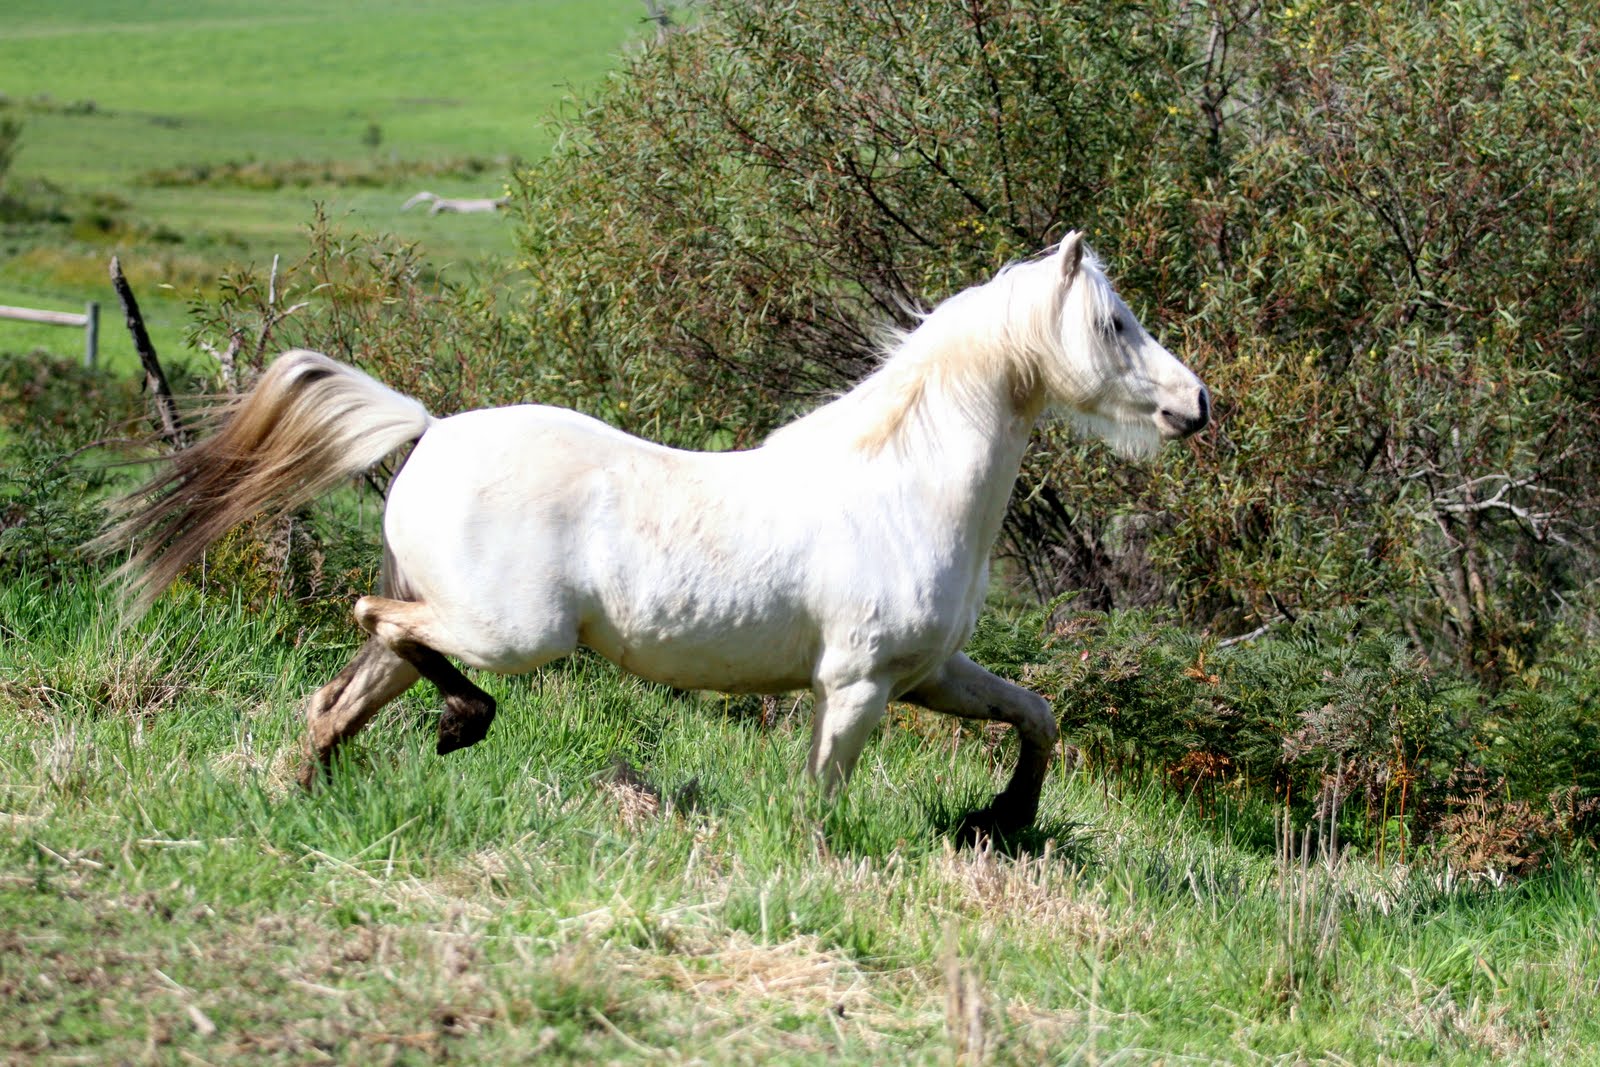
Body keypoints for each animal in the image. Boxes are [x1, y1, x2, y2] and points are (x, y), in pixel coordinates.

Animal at [100, 233, 1208, 836]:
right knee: (383, 624)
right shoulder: (857, 685)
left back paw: (308, 795)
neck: (899, 486)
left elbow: (1037, 714)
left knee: (338, 695)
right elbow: (820, 801)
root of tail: (429, 429)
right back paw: (462, 724)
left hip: (448, 622)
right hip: (510, 631)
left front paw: (1002, 818)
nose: (1196, 404)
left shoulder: (929, 671)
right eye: (1113, 323)